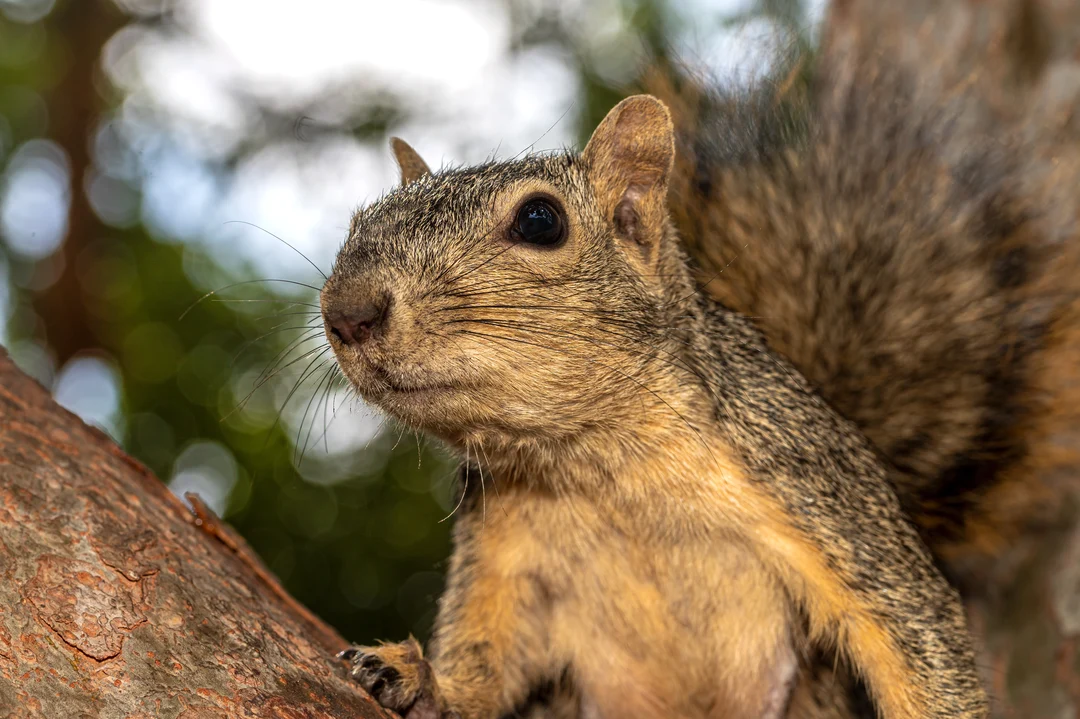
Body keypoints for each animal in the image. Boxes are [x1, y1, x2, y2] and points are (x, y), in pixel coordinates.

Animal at [317, 32, 1080, 719]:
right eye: (359, 221)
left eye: (540, 220)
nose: (347, 311)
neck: (599, 467)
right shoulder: (504, 554)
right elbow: (486, 658)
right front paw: (423, 678)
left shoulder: (813, 489)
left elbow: (915, 632)